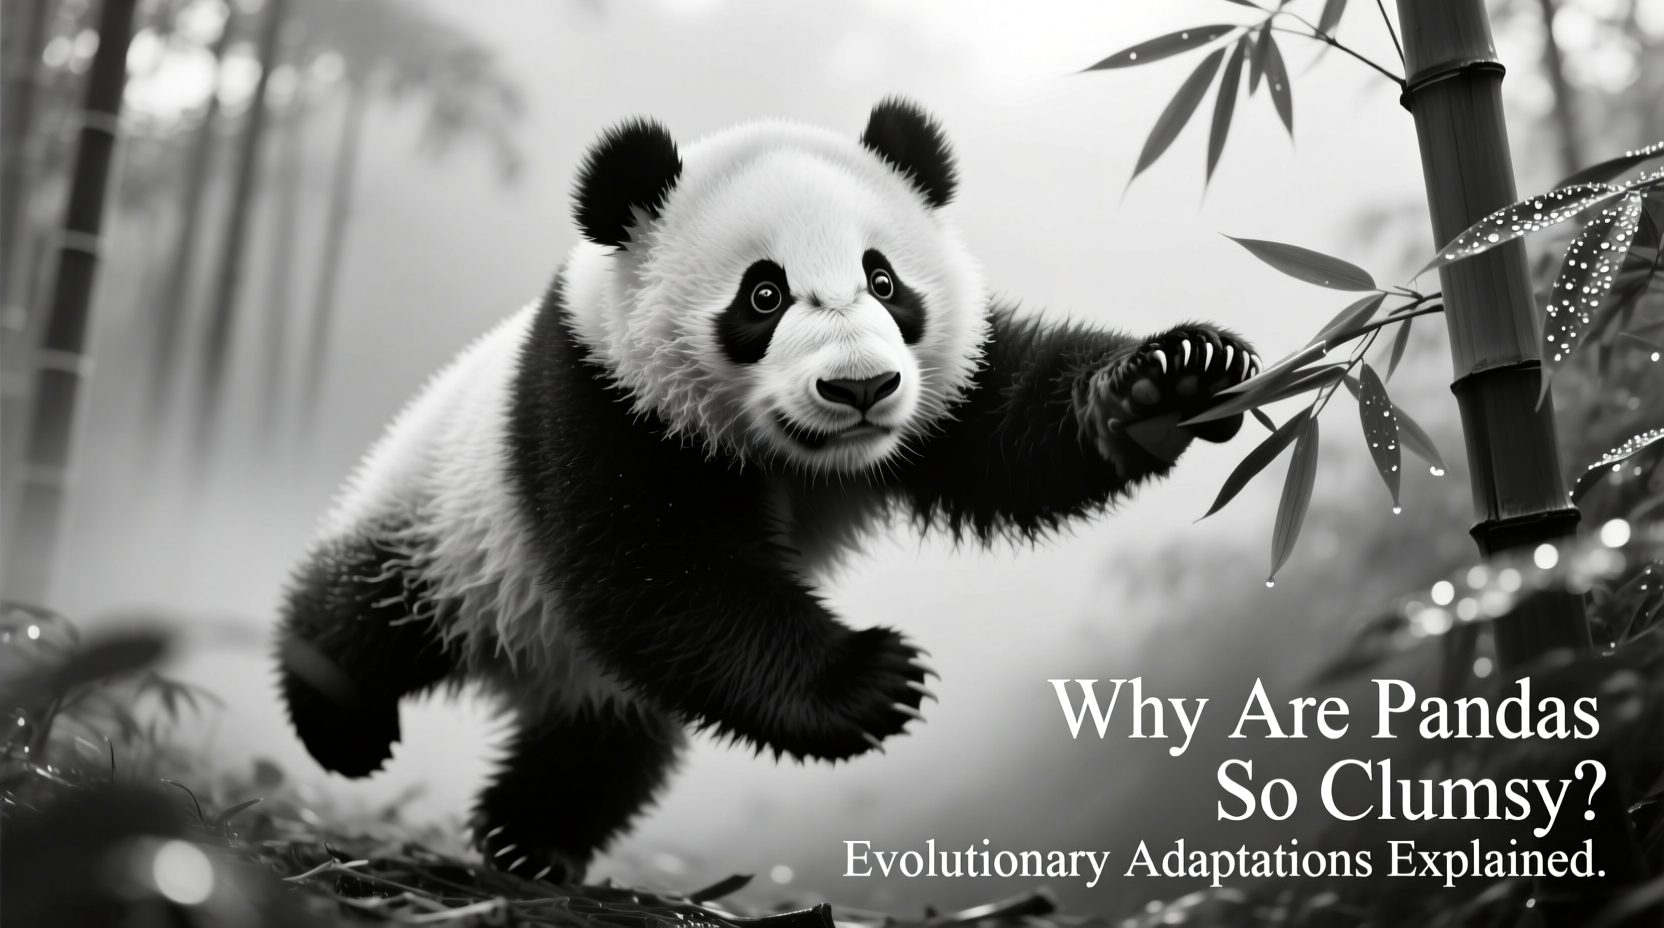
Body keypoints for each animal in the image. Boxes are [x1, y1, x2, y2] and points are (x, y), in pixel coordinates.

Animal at [276, 99, 1257, 883]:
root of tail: (515, 672)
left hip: (588, 678)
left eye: (884, 280)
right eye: (763, 294)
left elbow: (1014, 440)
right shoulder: (600, 399)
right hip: (447, 517)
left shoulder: (940, 398)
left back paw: (532, 835)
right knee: (366, 615)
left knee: (605, 746)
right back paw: (341, 723)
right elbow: (657, 567)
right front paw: (872, 680)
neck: (797, 456)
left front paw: (1171, 378)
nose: (861, 388)